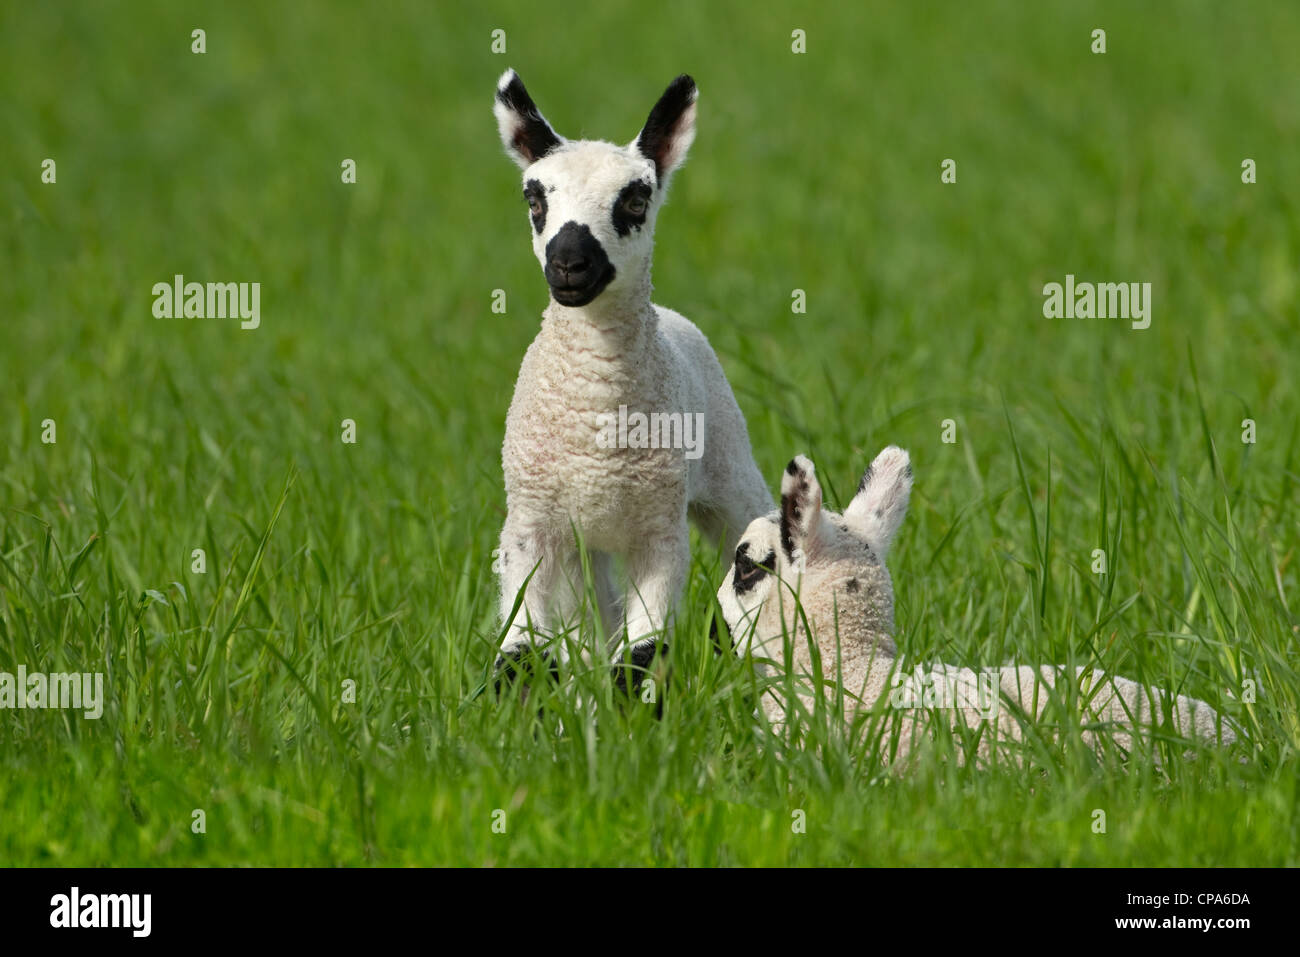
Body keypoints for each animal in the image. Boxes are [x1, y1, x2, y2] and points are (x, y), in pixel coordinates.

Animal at [491, 69, 773, 690]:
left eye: (637, 199)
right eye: (534, 199)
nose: (570, 263)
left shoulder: (658, 534)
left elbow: (641, 654)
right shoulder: (530, 527)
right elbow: (519, 652)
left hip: (728, 468)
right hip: (583, 544)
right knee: (590, 626)